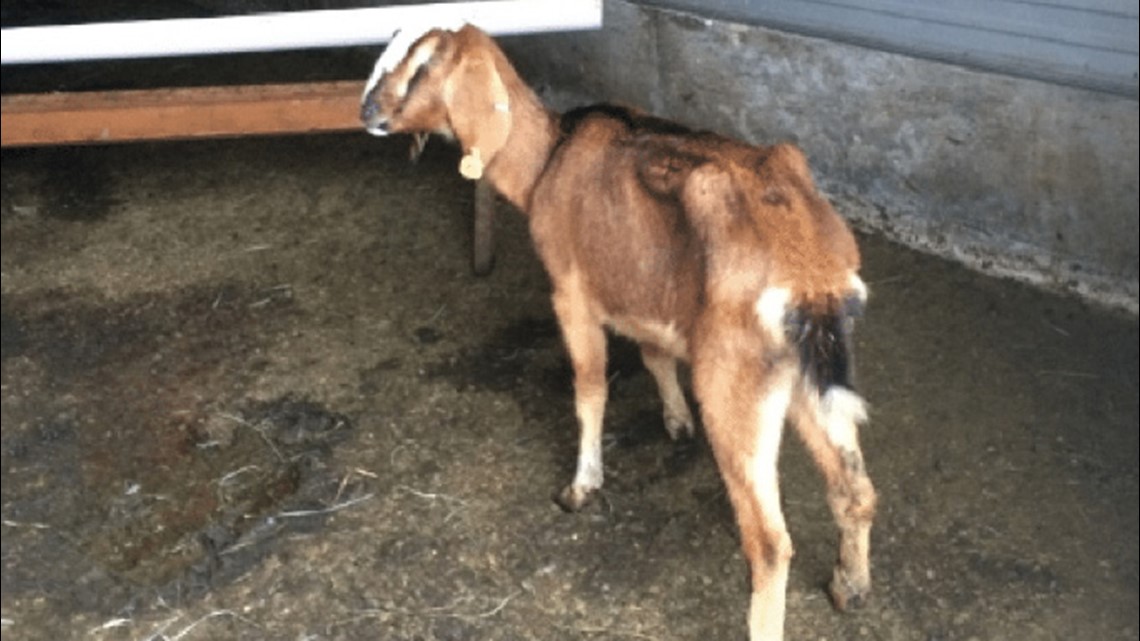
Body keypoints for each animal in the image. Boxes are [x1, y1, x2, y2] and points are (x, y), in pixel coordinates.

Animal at [361, 23, 876, 641]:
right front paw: (675, 420)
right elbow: (654, 354)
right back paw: (850, 586)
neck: (547, 160)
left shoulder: (572, 292)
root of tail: (812, 276)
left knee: (771, 543)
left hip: (735, 383)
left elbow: (589, 387)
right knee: (855, 489)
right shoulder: (643, 290)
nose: (366, 111)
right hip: (810, 376)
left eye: (421, 66)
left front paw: (581, 486)